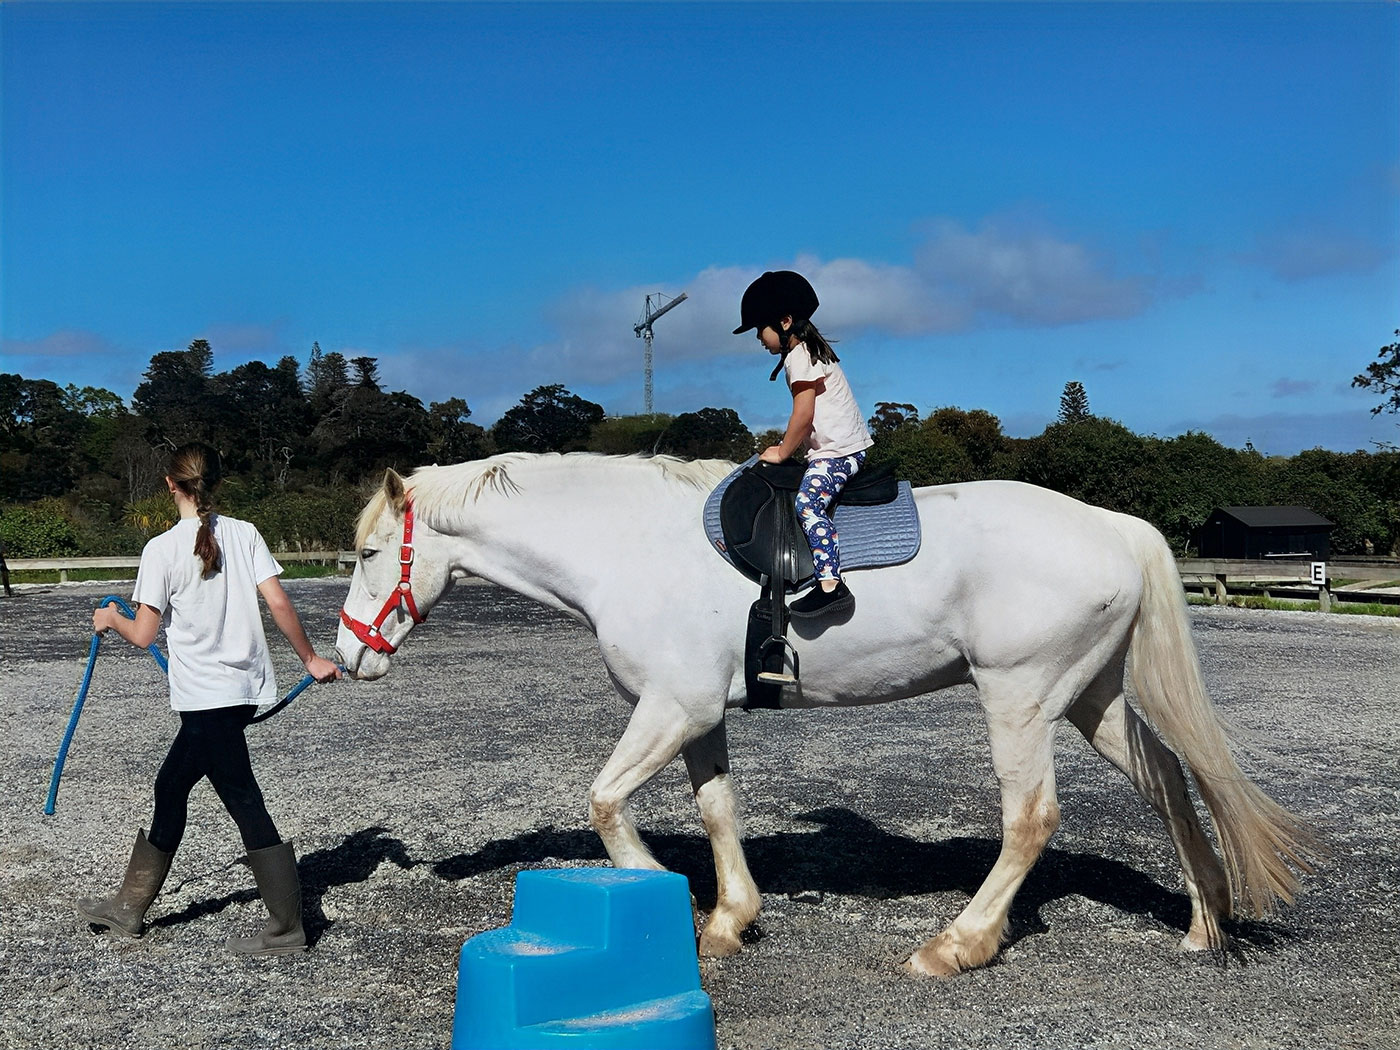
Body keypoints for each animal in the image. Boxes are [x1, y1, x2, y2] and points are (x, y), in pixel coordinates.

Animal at [334, 452, 1317, 976]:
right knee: (1170, 783)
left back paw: (957, 945)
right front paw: (729, 919)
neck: (624, 548)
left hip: (1021, 697)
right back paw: (1203, 923)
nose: (347, 657)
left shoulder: (671, 707)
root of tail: (1113, 524)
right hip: (1088, 697)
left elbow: (606, 802)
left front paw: (661, 899)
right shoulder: (701, 715)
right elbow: (717, 811)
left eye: (373, 552)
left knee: (1031, 818)